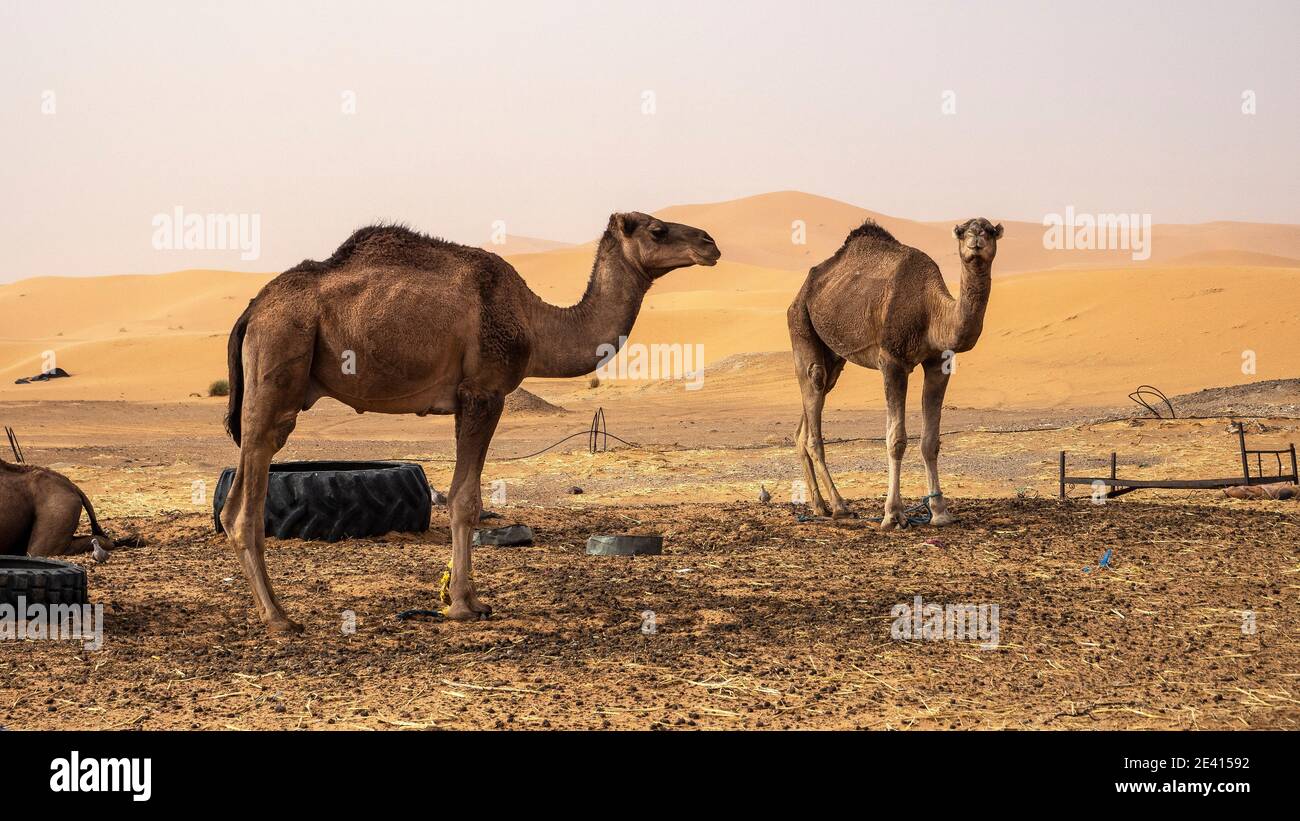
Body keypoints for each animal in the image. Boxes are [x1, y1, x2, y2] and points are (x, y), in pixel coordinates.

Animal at [221, 213, 720, 632]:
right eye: (657, 230)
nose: (709, 243)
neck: (534, 321)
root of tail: (252, 310)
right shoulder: (483, 392)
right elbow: (466, 500)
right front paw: (461, 606)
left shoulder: (465, 402)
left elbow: (465, 494)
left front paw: (471, 600)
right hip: (279, 356)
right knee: (246, 499)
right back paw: (278, 616)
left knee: (235, 499)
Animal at [787, 217, 1000, 529]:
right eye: (962, 231)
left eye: (991, 231)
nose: (975, 238)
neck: (930, 311)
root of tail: (801, 291)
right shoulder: (892, 361)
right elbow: (896, 440)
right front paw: (894, 514)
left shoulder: (938, 363)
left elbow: (930, 441)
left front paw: (940, 512)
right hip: (800, 323)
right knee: (814, 394)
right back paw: (840, 506)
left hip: (834, 356)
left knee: (809, 414)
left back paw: (819, 506)